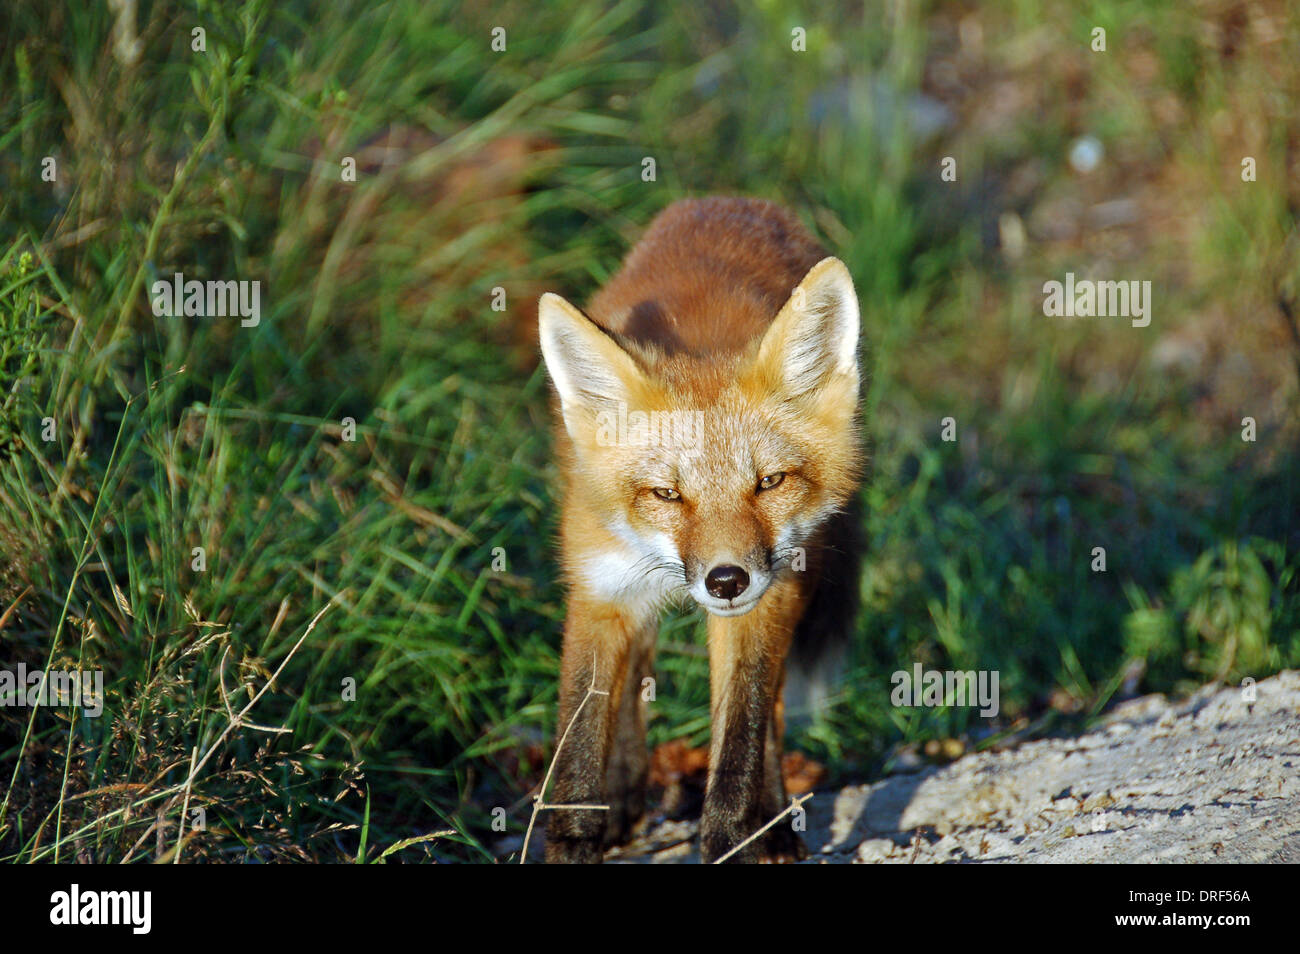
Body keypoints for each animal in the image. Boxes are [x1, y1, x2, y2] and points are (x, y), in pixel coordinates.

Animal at [537, 196, 864, 863]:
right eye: (667, 494)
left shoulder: (767, 598)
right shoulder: (599, 590)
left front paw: (732, 839)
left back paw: (774, 821)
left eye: (770, 482)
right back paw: (628, 793)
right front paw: (584, 833)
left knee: (772, 710)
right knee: (637, 667)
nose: (726, 581)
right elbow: (578, 759)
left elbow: (739, 743)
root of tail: (729, 201)